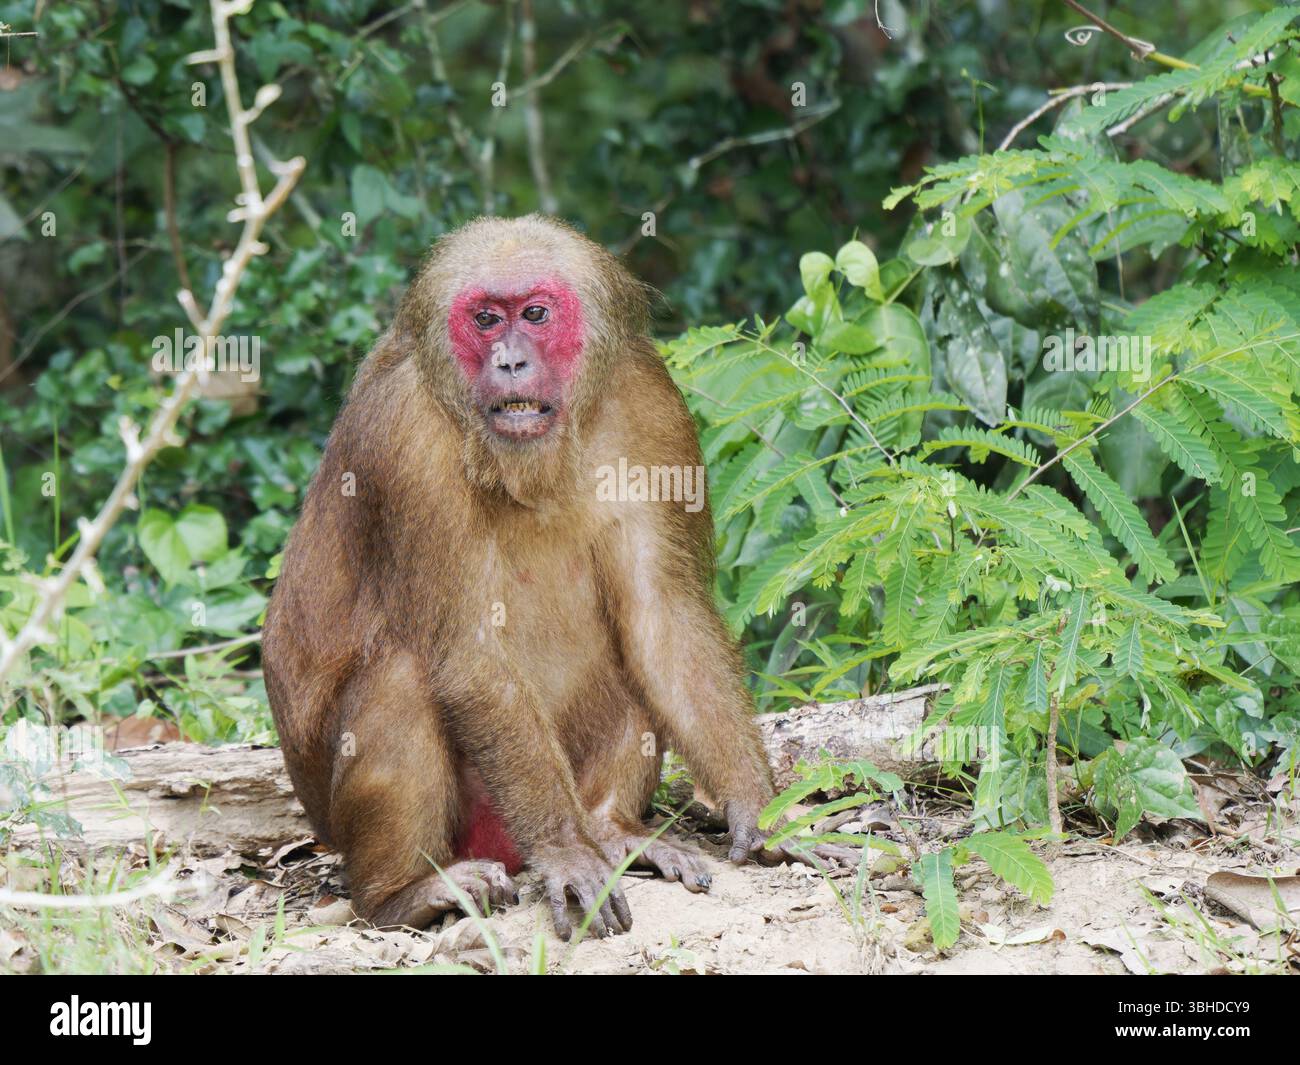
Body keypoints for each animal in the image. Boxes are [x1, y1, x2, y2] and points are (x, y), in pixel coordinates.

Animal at [262, 215, 842, 939]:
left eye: (535, 314)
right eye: (485, 319)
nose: (509, 360)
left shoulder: (650, 405)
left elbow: (661, 618)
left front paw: (762, 812)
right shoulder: (405, 438)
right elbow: (469, 653)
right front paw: (567, 854)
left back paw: (613, 831)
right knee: (400, 676)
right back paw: (402, 892)